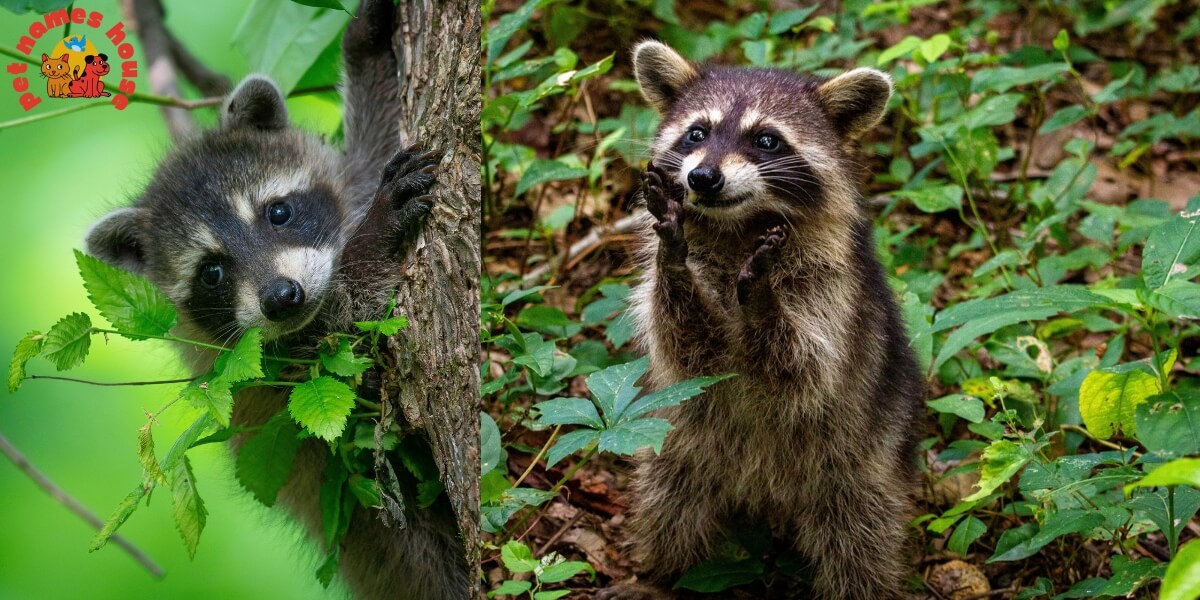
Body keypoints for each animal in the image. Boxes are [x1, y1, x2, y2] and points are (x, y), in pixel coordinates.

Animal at [82, 1, 470, 598]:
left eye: (278, 212)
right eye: (212, 271)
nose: (283, 298)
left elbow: (374, 145)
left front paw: (364, 41)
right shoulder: (267, 372)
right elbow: (348, 334)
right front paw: (373, 235)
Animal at [611, 41, 925, 599]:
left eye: (766, 140)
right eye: (698, 132)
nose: (703, 177)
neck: (738, 226)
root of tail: (764, 496)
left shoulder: (832, 288)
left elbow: (805, 369)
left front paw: (761, 301)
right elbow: (685, 348)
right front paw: (676, 262)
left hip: (860, 463)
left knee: (859, 542)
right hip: (679, 452)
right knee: (669, 509)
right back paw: (669, 574)